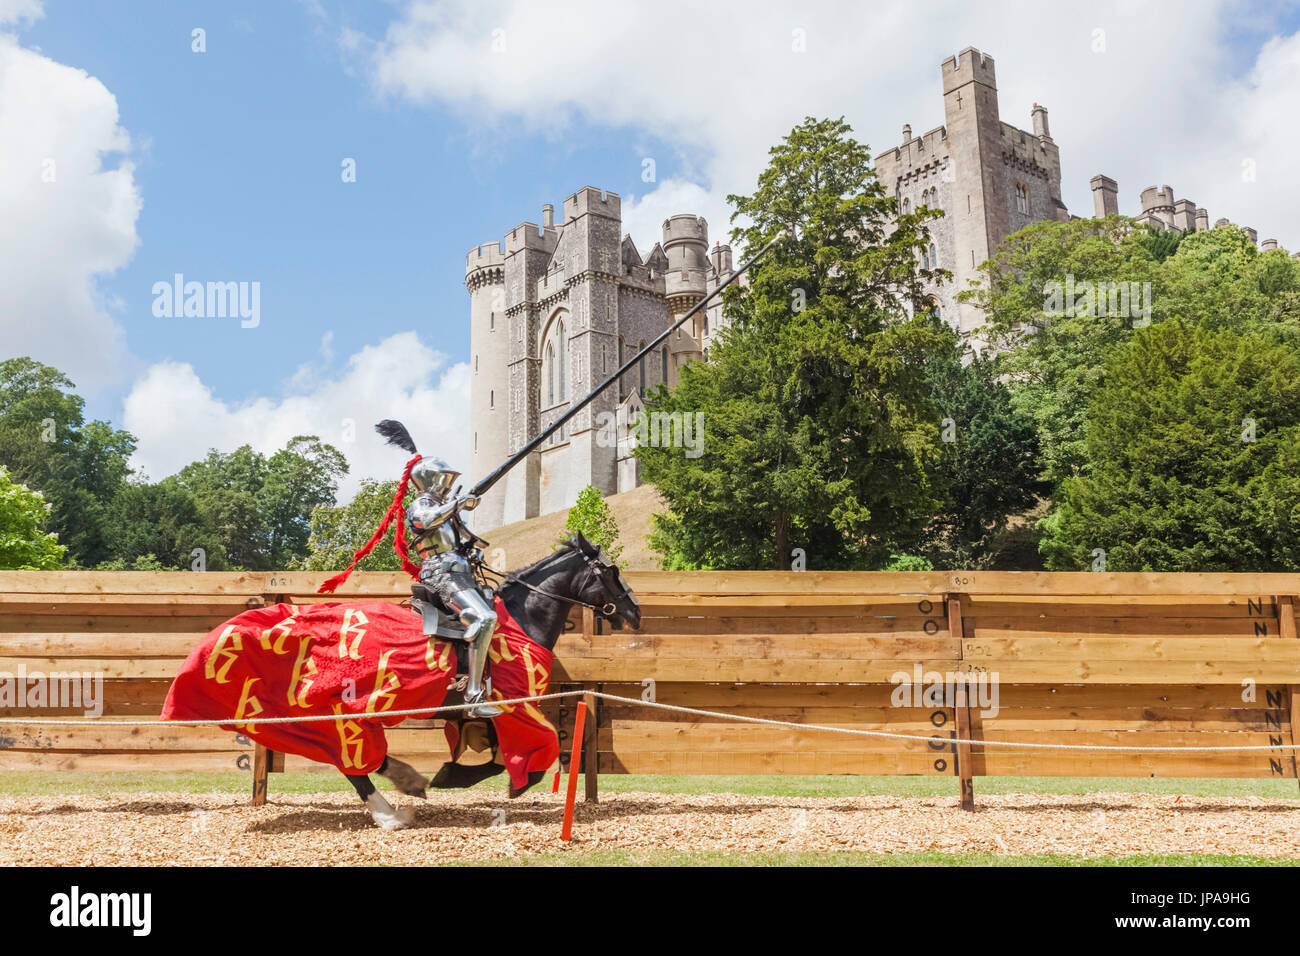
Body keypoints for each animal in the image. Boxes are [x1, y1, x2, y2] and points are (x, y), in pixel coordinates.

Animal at [161, 534, 640, 830]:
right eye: (612, 571)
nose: (634, 613)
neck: (520, 619)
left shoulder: (477, 718)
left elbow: (497, 754)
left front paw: (448, 775)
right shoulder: (510, 708)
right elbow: (525, 757)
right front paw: (458, 777)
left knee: (359, 757)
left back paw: (405, 783)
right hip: (339, 710)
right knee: (354, 762)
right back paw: (389, 813)